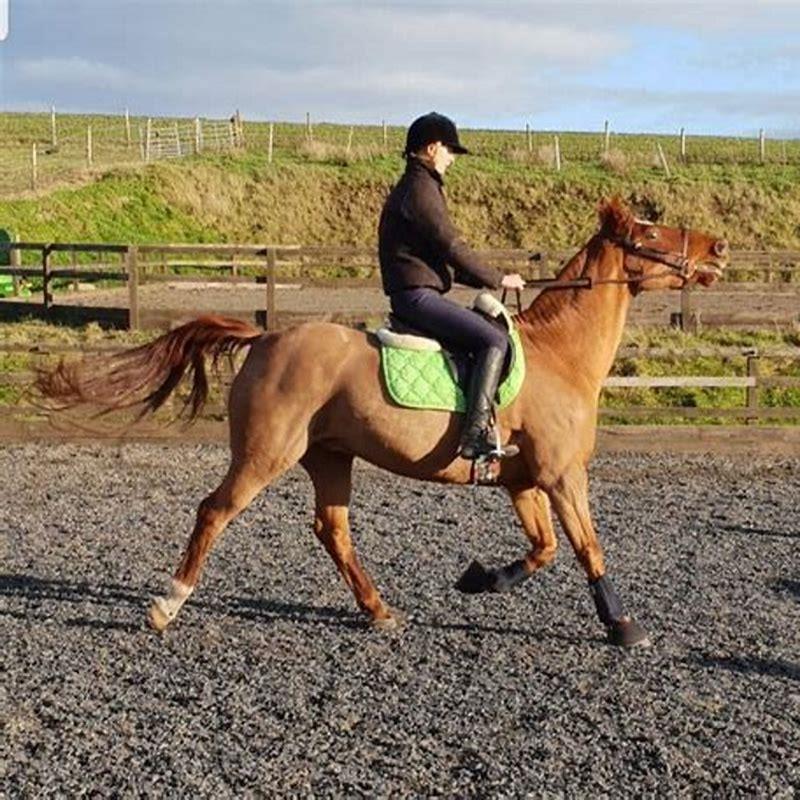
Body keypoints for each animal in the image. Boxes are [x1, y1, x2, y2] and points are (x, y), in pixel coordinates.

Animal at [36, 198, 729, 647]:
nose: (719, 249)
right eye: (653, 233)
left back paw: (378, 610)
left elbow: (546, 549)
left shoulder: (524, 483)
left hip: (329, 456)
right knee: (215, 511)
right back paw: (167, 605)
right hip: (265, 454)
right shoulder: (562, 477)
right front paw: (623, 625)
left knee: (332, 530)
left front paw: (479, 579)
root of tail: (266, 336)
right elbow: (587, 546)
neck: (560, 354)